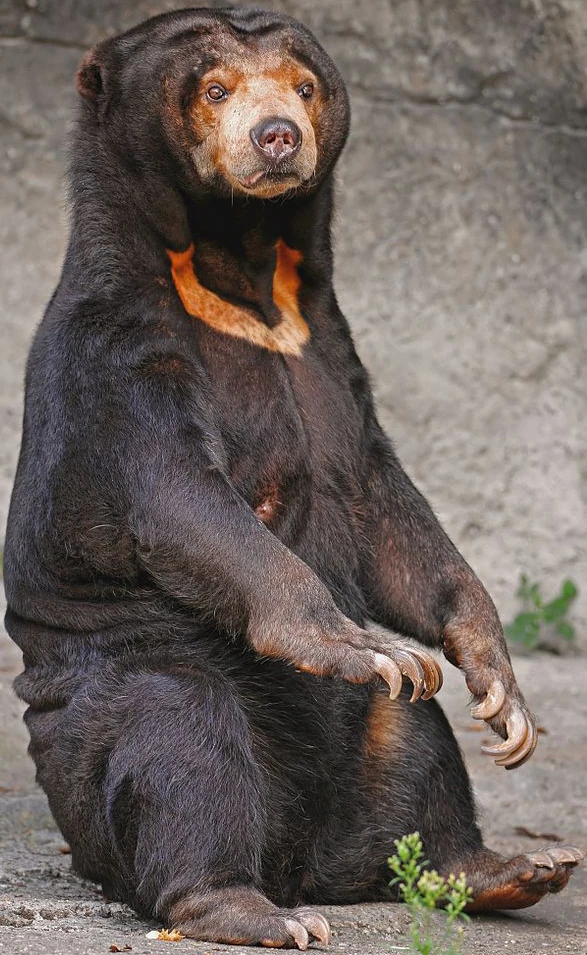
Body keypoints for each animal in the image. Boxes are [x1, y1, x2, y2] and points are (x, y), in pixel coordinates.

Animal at [3, 6, 583, 949]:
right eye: (213, 89)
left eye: (304, 86)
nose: (277, 135)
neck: (239, 271)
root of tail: (300, 857)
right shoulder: (117, 343)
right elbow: (180, 498)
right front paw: (362, 643)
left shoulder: (328, 346)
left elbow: (383, 504)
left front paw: (501, 695)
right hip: (107, 710)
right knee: (183, 743)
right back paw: (250, 908)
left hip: (365, 749)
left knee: (415, 738)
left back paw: (501, 866)